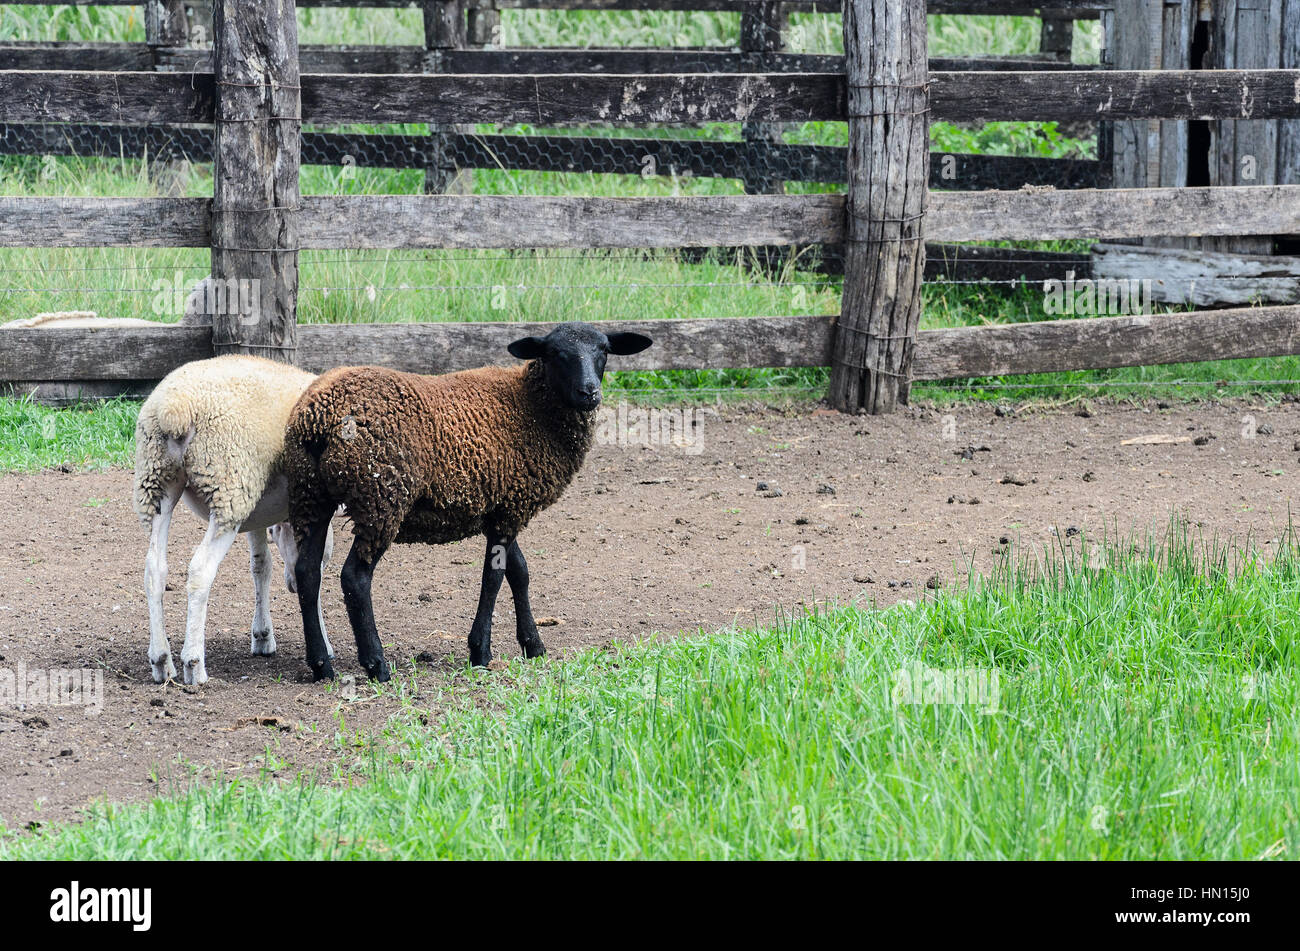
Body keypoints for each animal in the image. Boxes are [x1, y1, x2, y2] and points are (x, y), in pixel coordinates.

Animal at [134, 355, 336, 685]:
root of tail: (175, 409)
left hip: (159, 481)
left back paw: (162, 661)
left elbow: (261, 567)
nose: (291, 586)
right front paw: (325, 646)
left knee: (155, 569)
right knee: (200, 570)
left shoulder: (257, 512)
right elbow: (309, 573)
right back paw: (193, 665)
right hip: (228, 486)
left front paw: (263, 636)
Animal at [284, 322, 652, 681]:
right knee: (355, 578)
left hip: (310, 495)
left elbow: (519, 572)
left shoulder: (504, 507)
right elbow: (493, 577)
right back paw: (376, 664)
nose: (589, 392)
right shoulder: (511, 508)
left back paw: (321, 665)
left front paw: (532, 645)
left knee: (307, 572)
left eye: (604, 350)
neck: (533, 408)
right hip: (381, 498)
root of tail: (320, 416)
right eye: (556, 354)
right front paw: (481, 651)